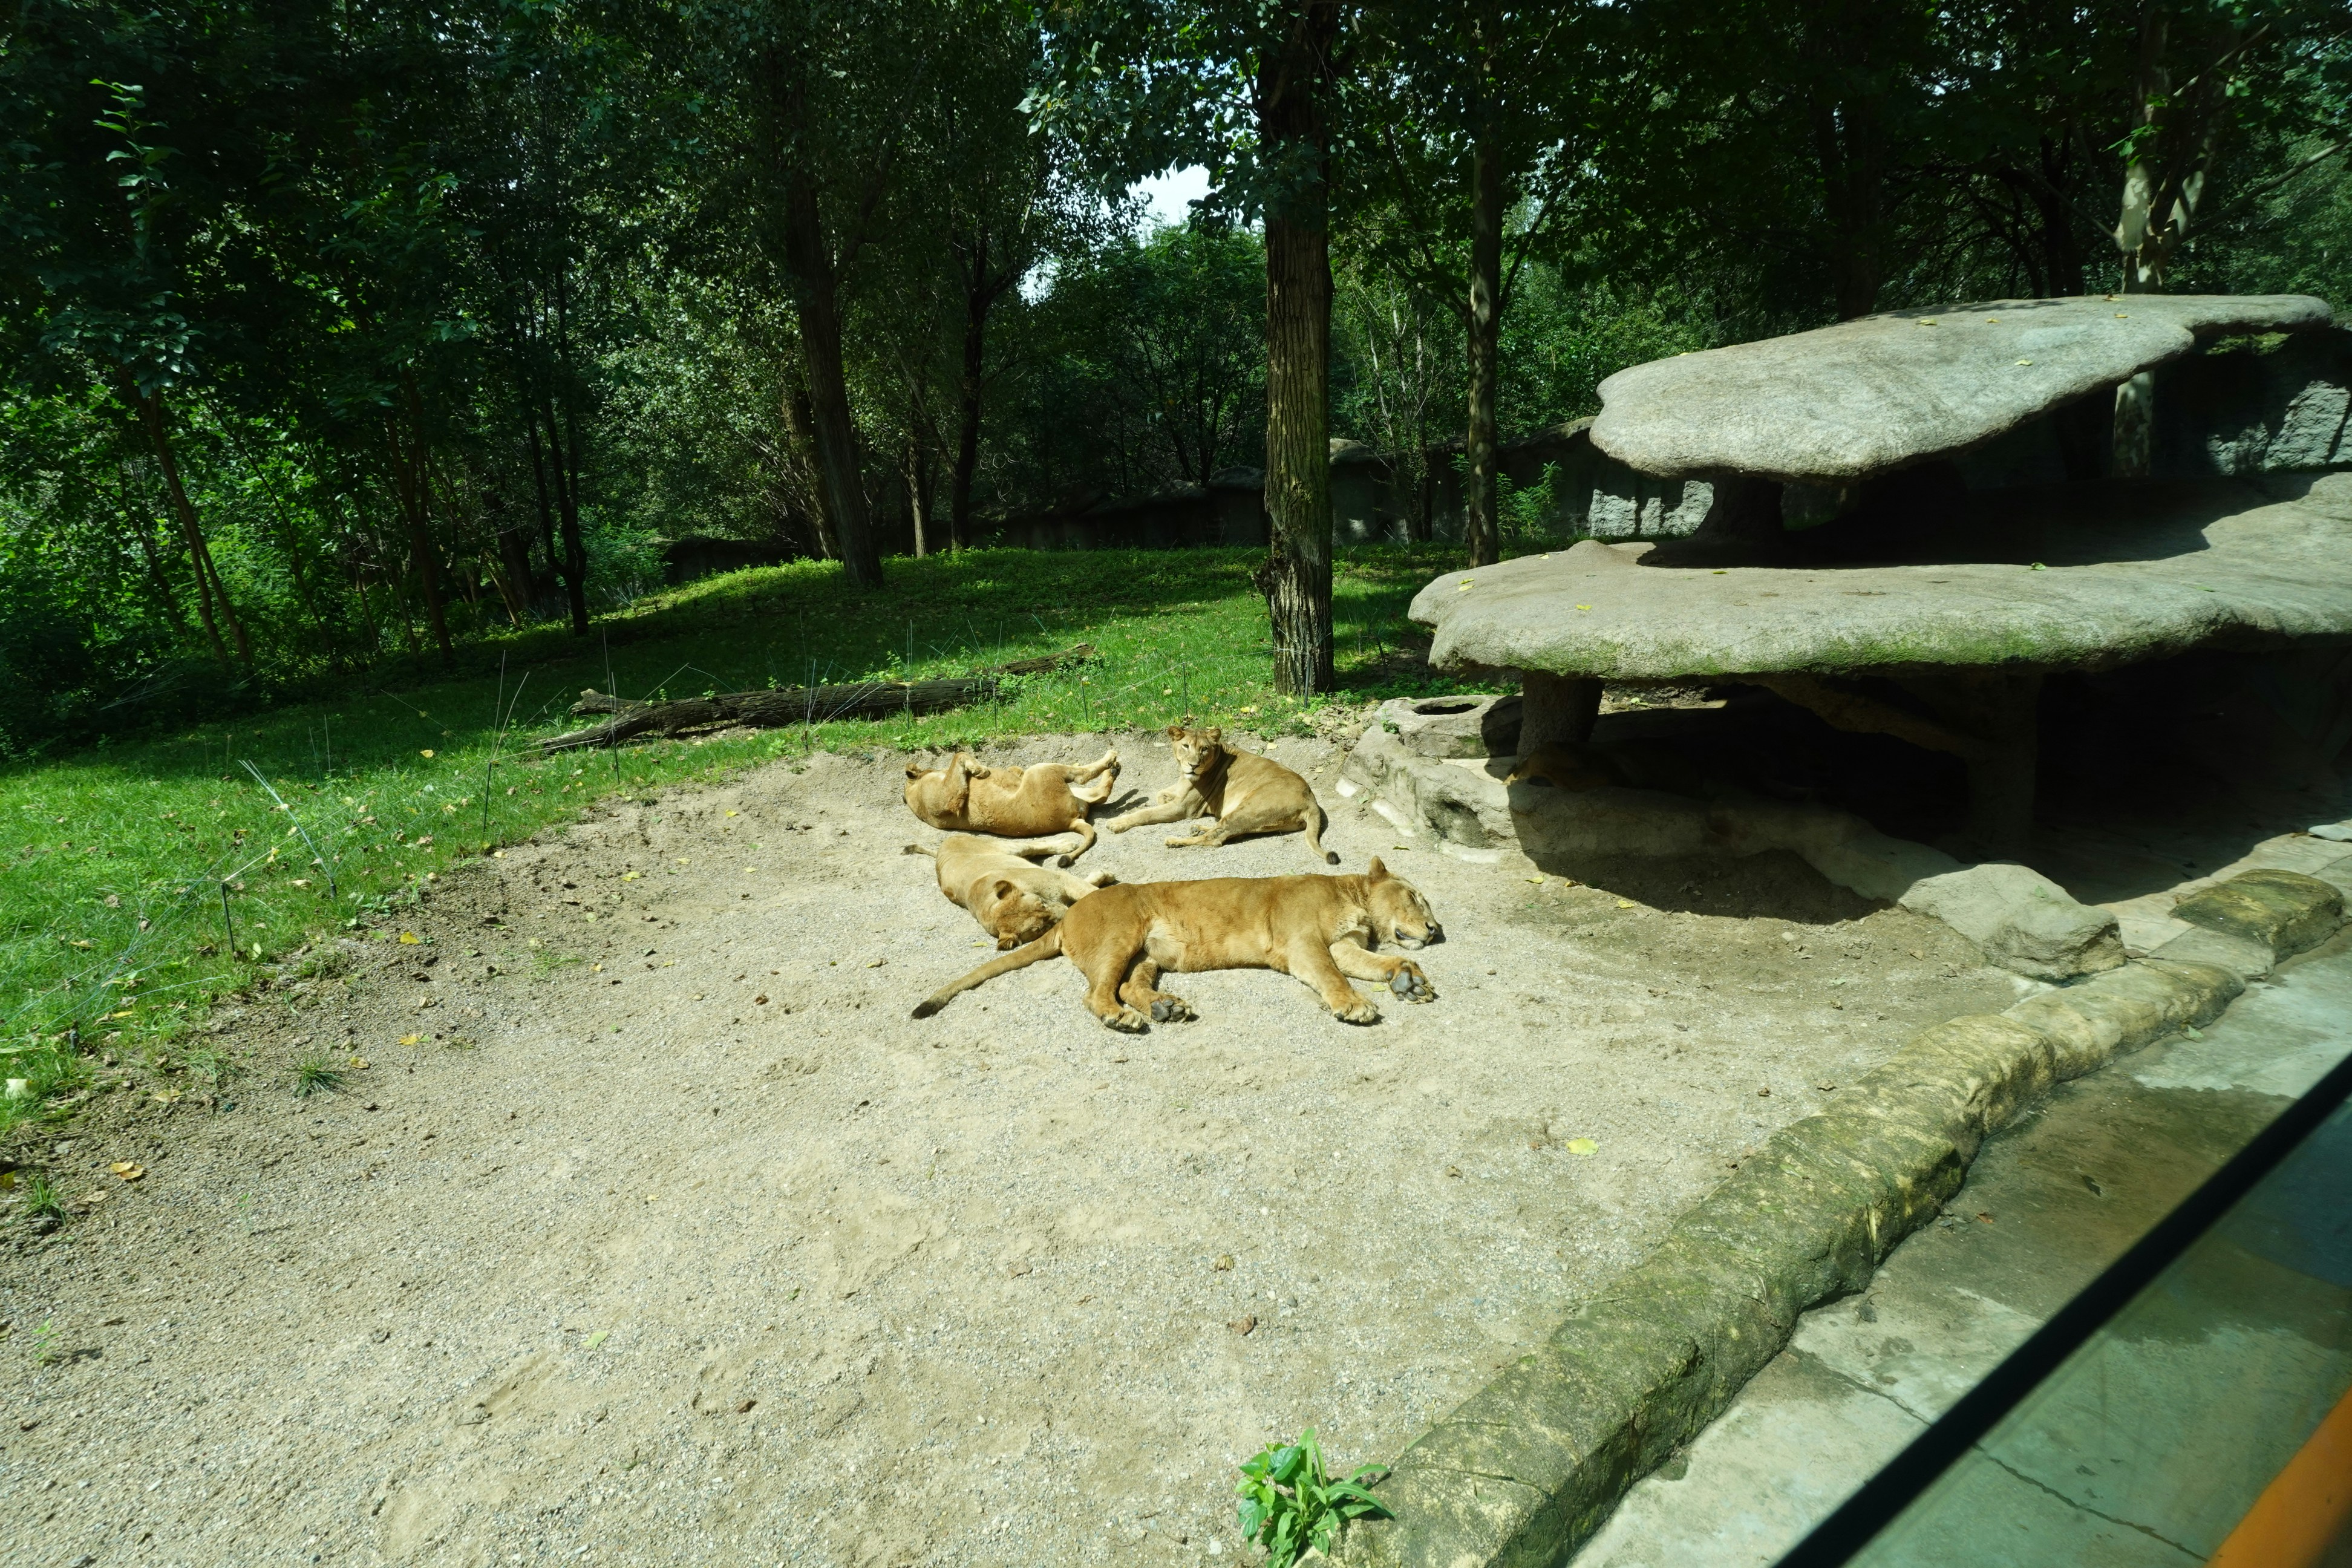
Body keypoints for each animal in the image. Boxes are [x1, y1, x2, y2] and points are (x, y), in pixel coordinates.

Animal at [903, 748, 1118, 864]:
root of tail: (1072, 822)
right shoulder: (950, 798)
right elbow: (959, 754)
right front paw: (980, 770)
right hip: (1041, 771)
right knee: (1083, 776)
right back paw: (1111, 759)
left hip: (1069, 789)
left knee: (1099, 794)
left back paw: (1114, 770)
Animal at [905, 834, 1115, 949]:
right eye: (1042, 929)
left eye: (1041, 903)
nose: (1066, 913)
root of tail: (940, 849)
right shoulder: (1060, 884)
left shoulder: (1060, 880)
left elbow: (1088, 893)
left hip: (1007, 847)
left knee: (1034, 845)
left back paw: (1066, 845)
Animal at [910, 858, 1441, 1031]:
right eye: (1417, 897)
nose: (1435, 929)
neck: (1352, 897)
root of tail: (1067, 916)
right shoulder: (1303, 943)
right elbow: (1333, 976)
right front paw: (1356, 1006)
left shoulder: (1346, 944)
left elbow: (1378, 960)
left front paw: (1409, 981)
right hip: (1120, 934)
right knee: (1097, 994)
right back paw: (1122, 1019)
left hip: (1146, 956)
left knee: (1129, 986)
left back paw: (1166, 1007)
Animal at [1104, 725, 1337, 865]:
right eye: (1185, 746)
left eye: (1204, 749)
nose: (1193, 766)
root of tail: (1311, 799)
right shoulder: (1179, 791)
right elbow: (1159, 795)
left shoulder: (1184, 808)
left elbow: (1147, 814)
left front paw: (1117, 823)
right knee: (1226, 831)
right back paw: (1197, 829)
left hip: (1248, 809)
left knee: (1216, 839)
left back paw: (1175, 841)